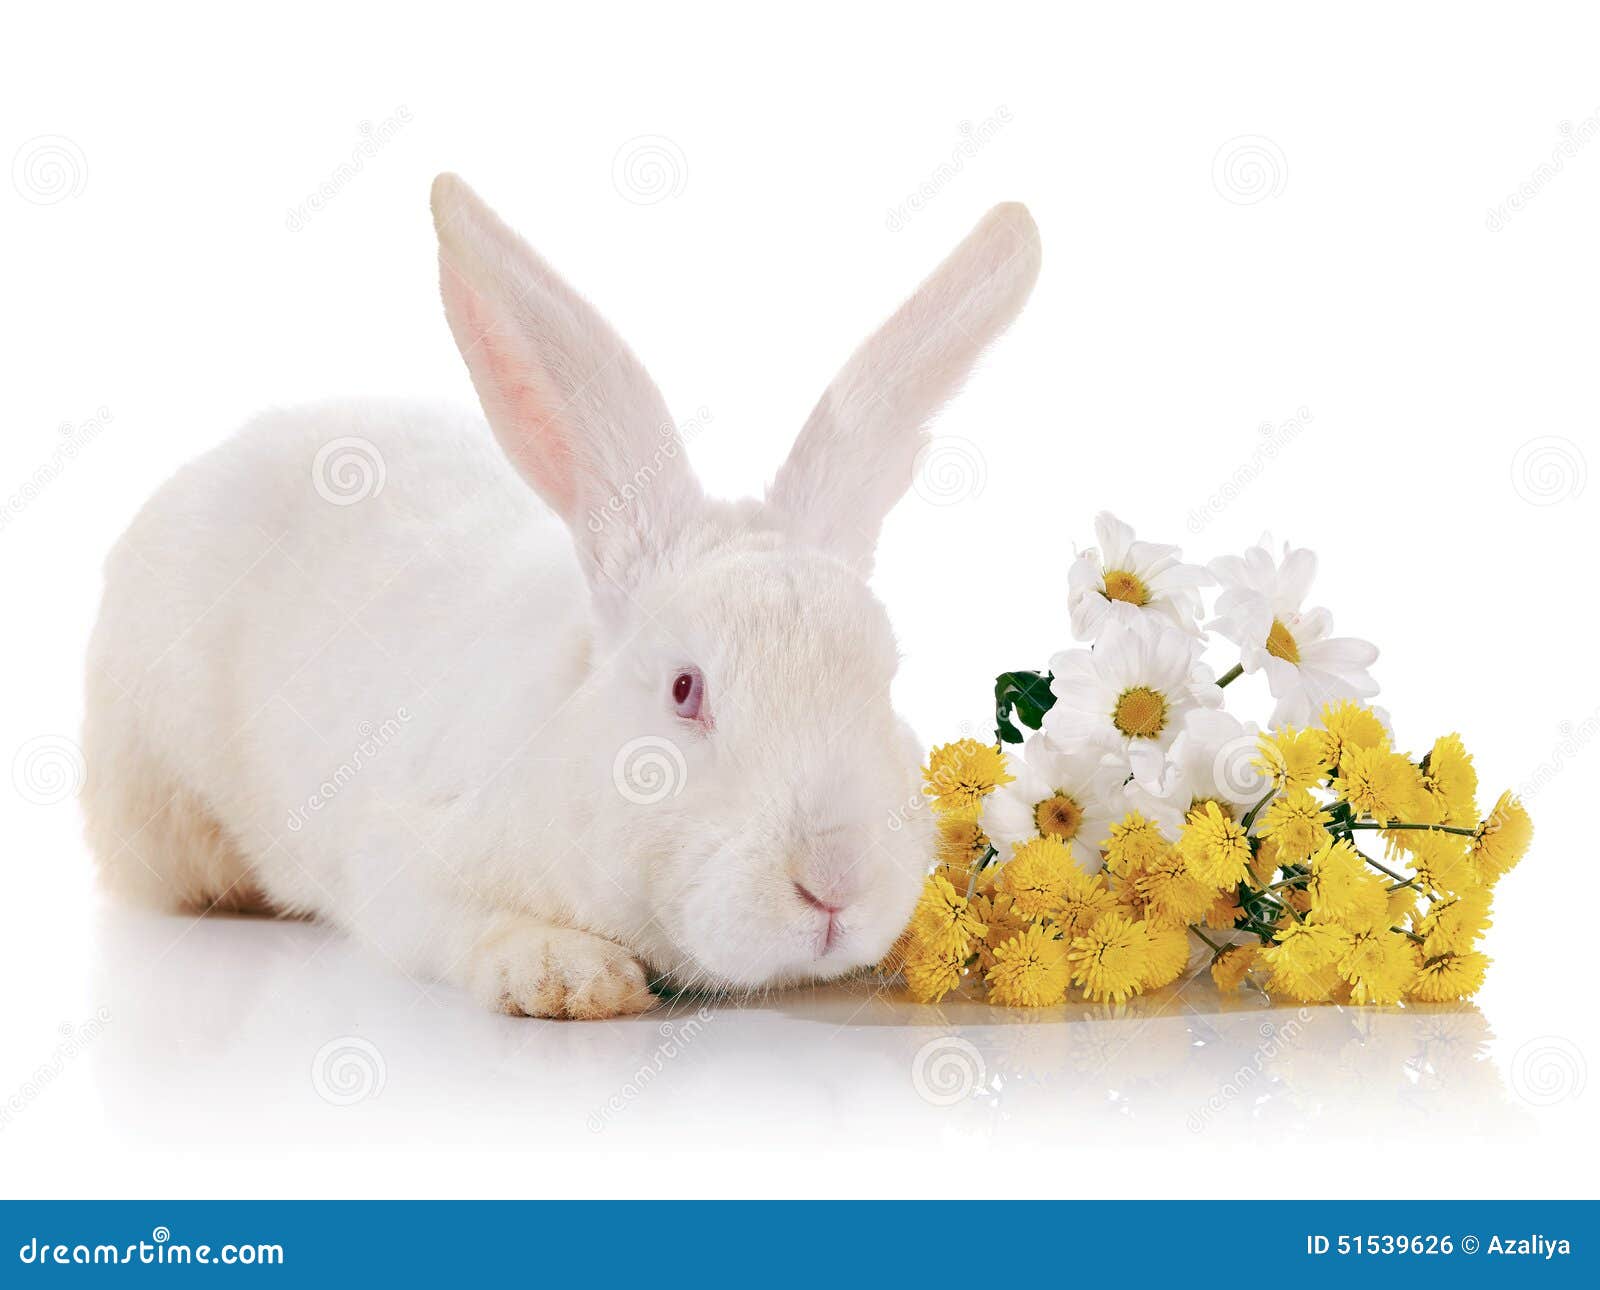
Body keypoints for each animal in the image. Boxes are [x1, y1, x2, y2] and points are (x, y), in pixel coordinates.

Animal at [81, 174, 1041, 1019]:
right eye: (684, 690)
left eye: (884, 683)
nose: (835, 882)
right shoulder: (397, 859)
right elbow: (458, 924)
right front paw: (567, 976)